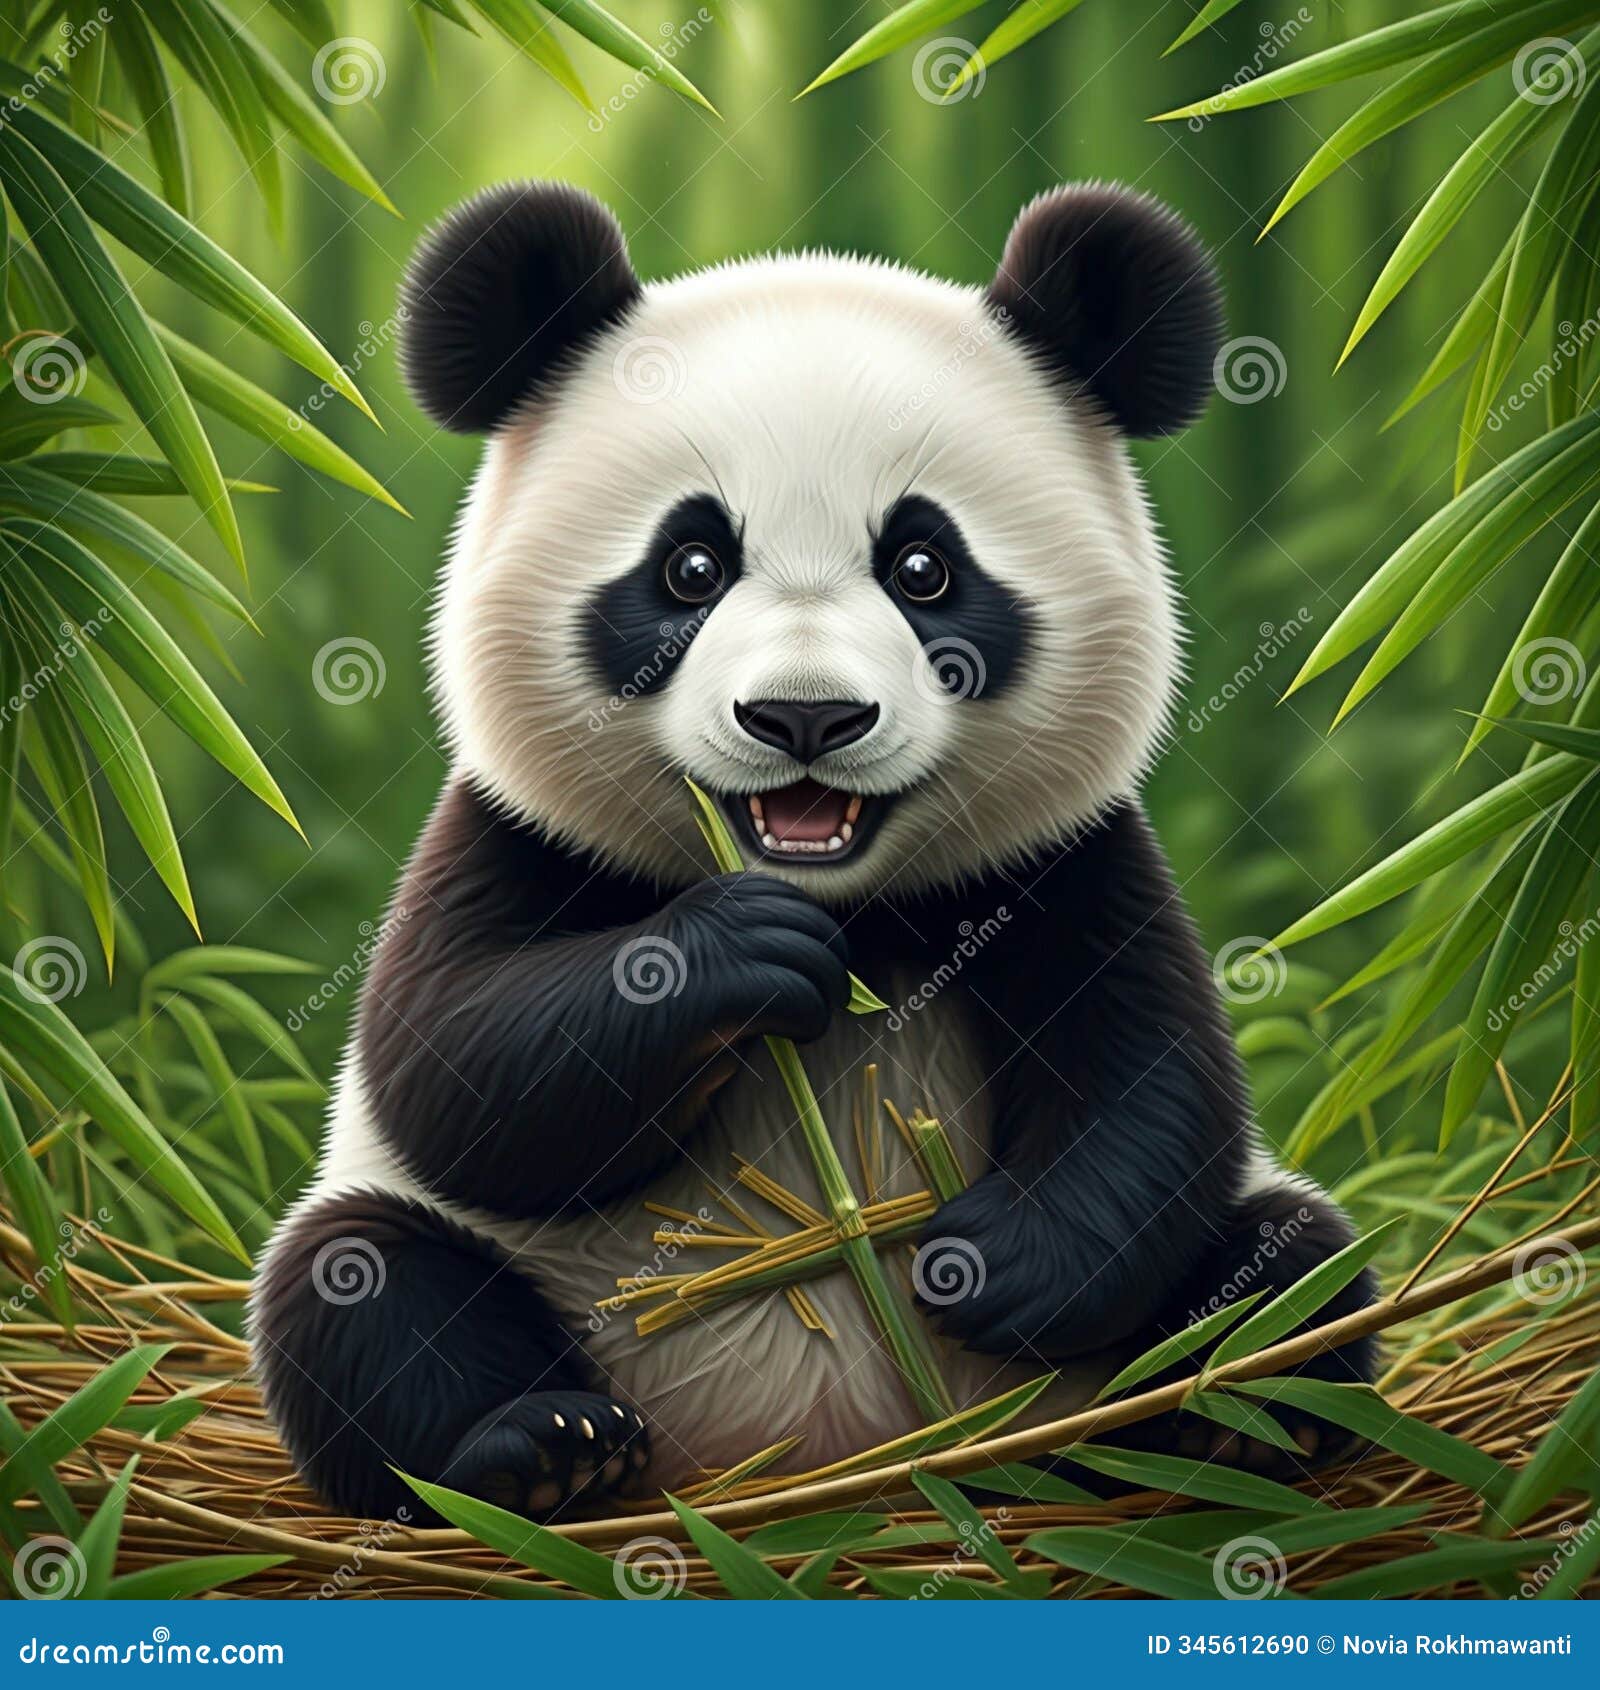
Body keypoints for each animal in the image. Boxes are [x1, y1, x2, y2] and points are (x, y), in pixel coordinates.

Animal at [251, 179, 1376, 1523]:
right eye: (689, 565)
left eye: (923, 565)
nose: (804, 717)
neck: (848, 901)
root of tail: (822, 1465)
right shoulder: (512, 832)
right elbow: (452, 1069)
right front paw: (734, 956)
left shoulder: (1067, 859)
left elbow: (1152, 1082)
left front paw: (983, 1264)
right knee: (359, 1281)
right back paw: (544, 1453)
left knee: (1291, 1268)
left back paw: (1232, 1423)